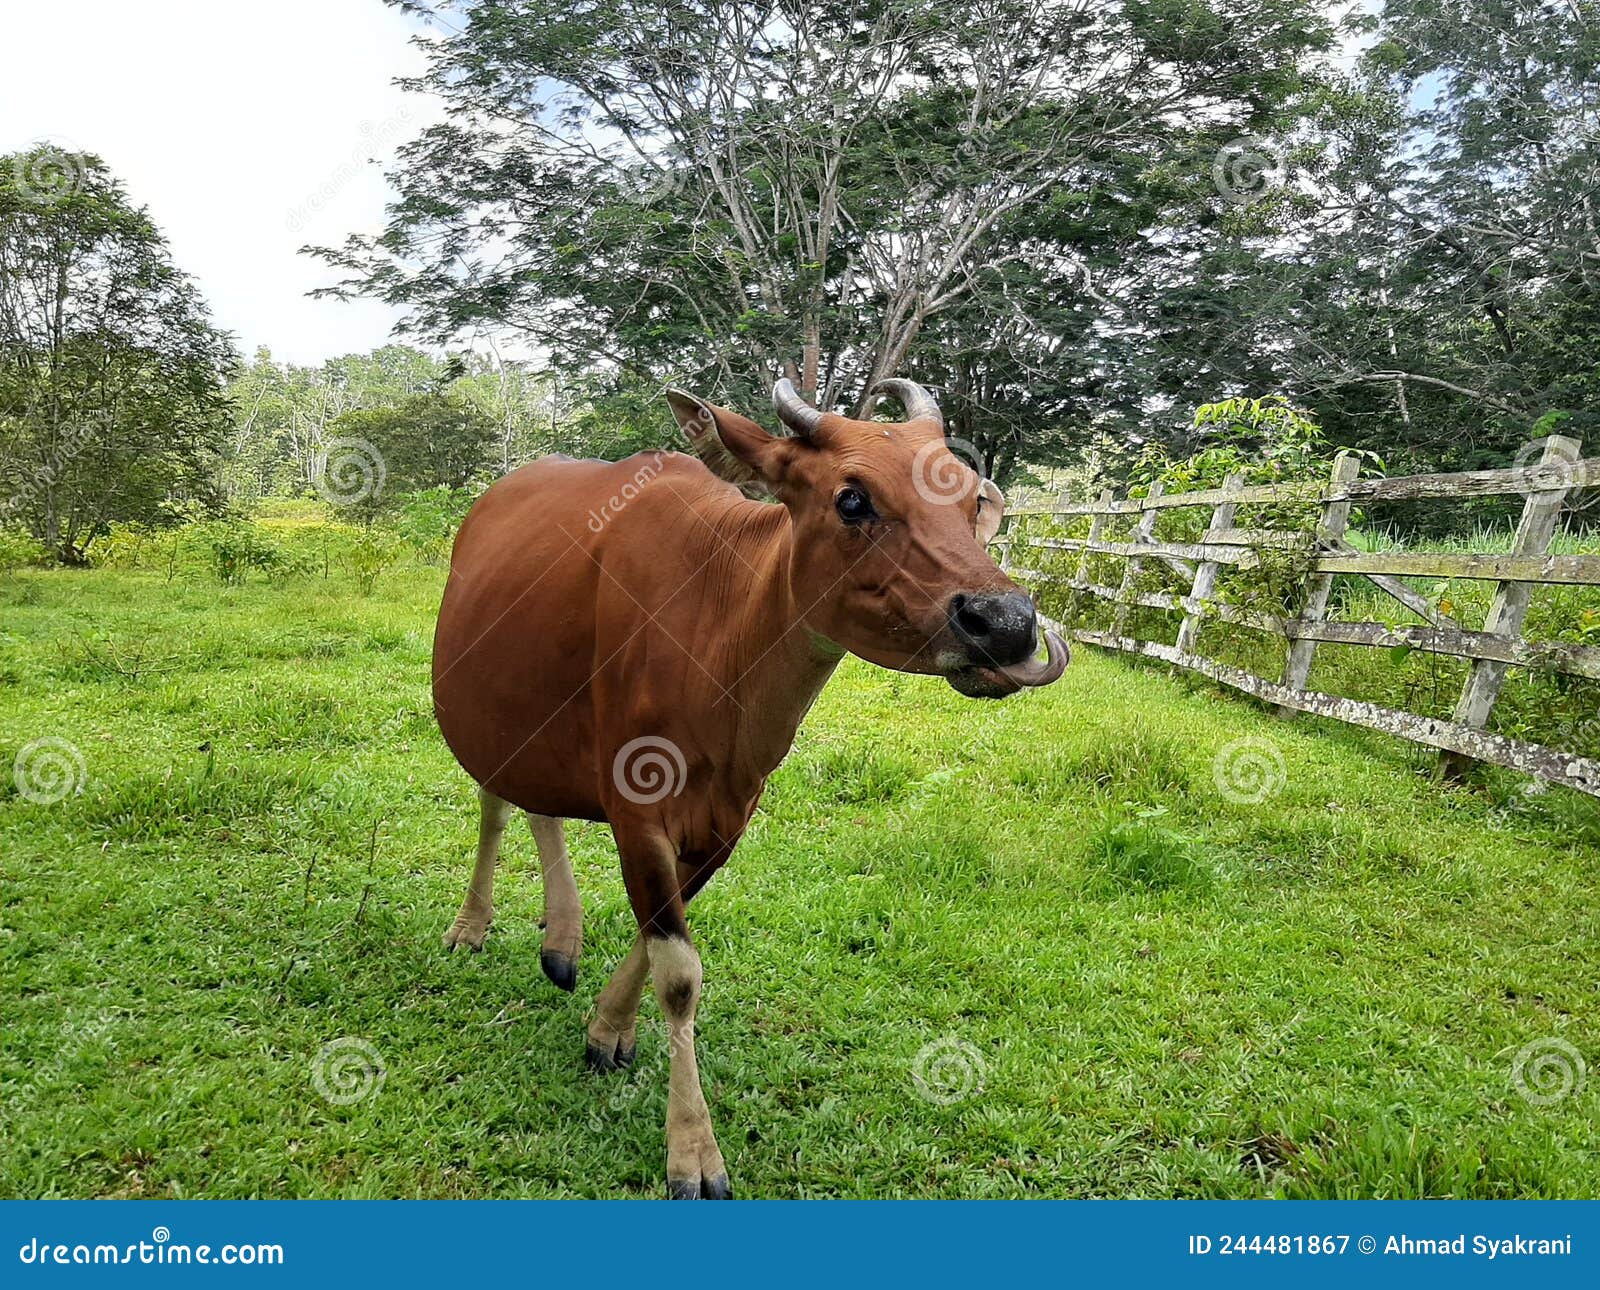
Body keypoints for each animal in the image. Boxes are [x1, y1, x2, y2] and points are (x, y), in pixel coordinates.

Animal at [431, 377, 1067, 1198]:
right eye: (852, 499)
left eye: (970, 501)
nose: (1007, 623)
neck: (718, 633)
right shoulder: (637, 806)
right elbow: (679, 973)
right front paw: (692, 1152)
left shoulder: (726, 819)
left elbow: (655, 942)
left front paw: (608, 1028)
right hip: (484, 718)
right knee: (496, 804)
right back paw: (472, 925)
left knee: (541, 807)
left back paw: (562, 937)